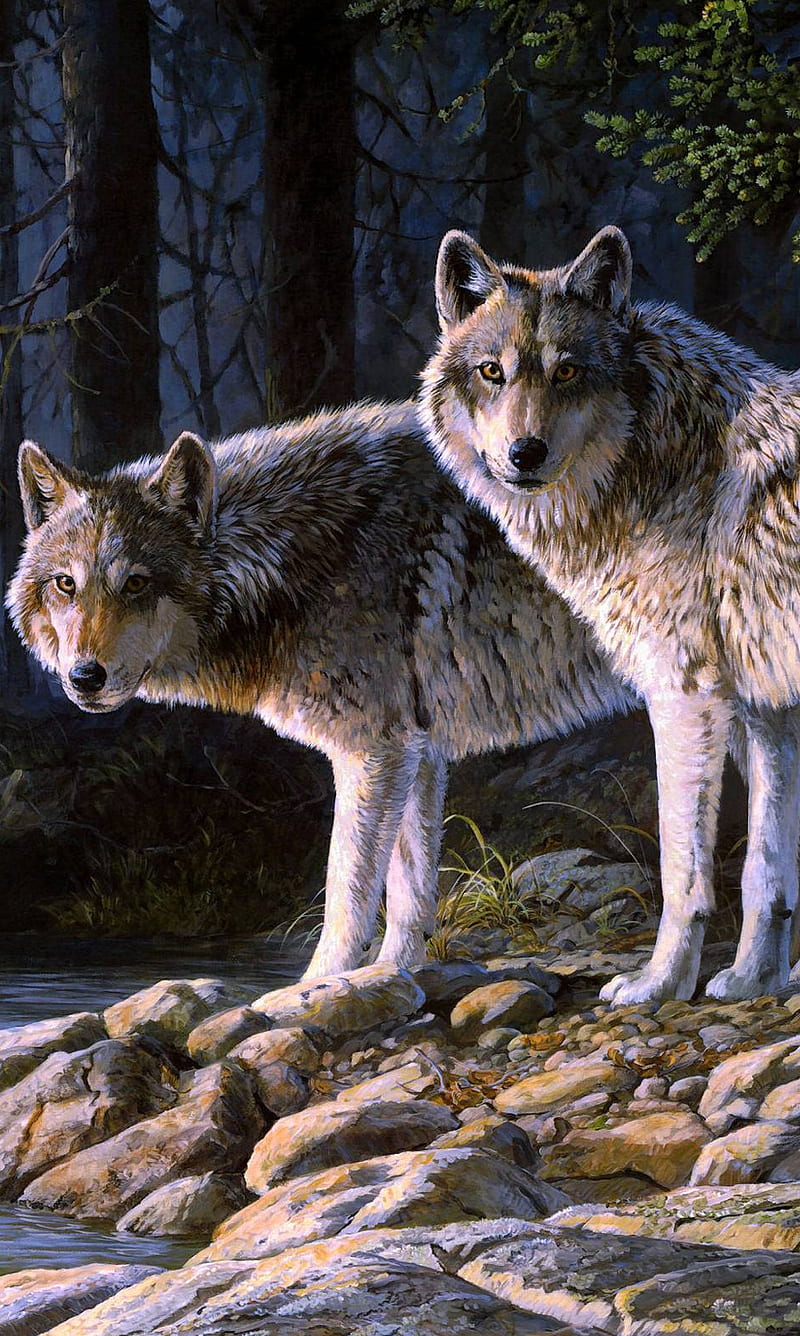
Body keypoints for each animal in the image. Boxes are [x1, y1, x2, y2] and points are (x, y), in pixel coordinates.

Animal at [7, 400, 635, 980]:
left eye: (136, 583)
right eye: (66, 584)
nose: (84, 677)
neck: (287, 556)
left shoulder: (373, 751)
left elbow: (347, 890)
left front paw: (311, 991)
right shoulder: (416, 752)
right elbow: (409, 888)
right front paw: (392, 978)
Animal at [421, 224, 800, 1005]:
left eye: (567, 373)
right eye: (492, 372)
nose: (524, 453)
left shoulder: (686, 695)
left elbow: (686, 871)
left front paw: (660, 985)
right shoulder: (764, 706)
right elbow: (766, 868)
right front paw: (752, 981)